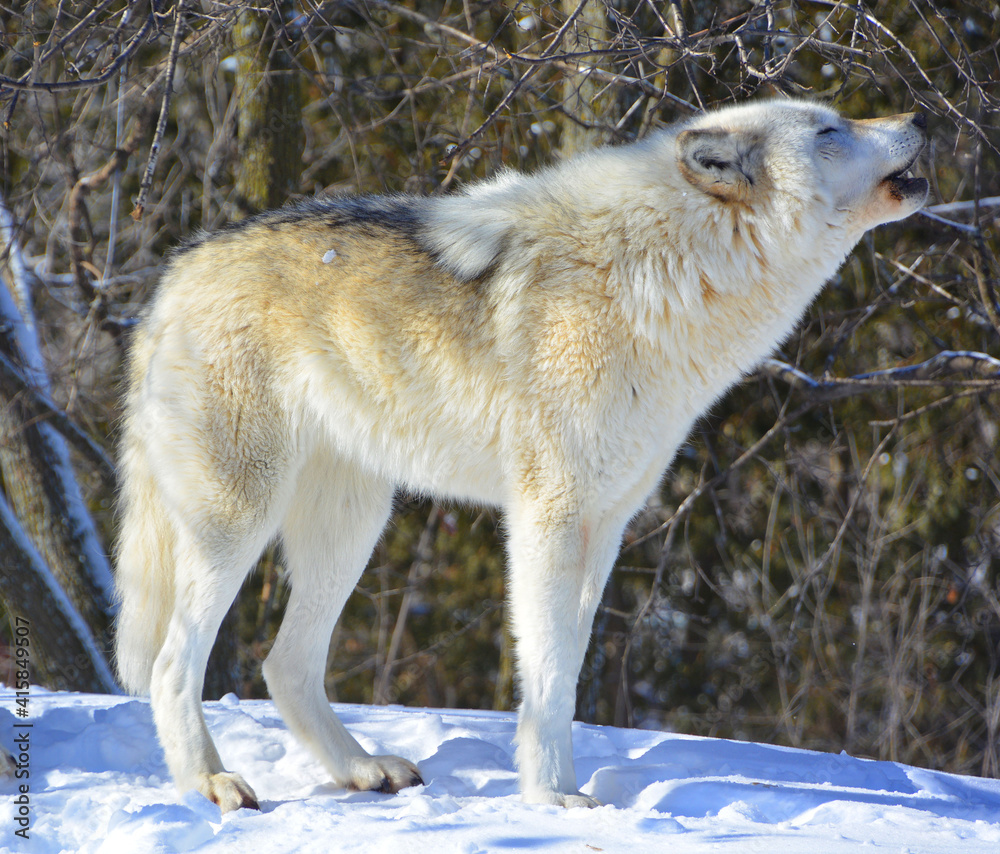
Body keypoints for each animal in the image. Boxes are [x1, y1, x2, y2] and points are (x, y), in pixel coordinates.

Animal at [114, 98, 928, 812]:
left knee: (284, 665)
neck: (660, 271)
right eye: (829, 131)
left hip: (352, 527)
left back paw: (361, 770)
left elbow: (564, 671)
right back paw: (211, 784)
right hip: (238, 520)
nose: (918, 117)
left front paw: (555, 789)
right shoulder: (549, 516)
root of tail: (174, 277)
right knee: (170, 665)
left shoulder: (606, 525)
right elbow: (550, 668)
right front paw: (555, 797)